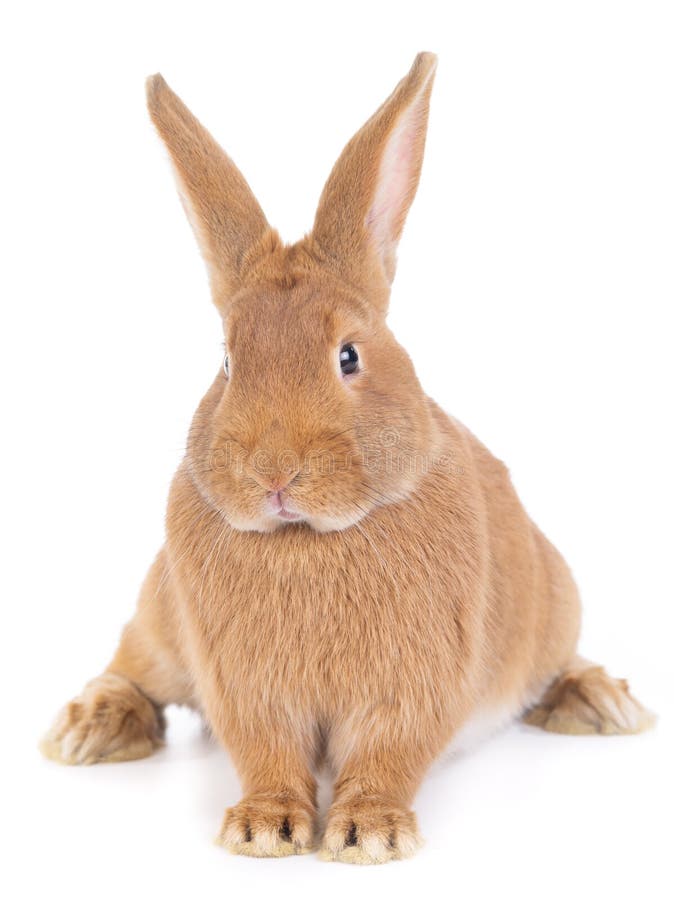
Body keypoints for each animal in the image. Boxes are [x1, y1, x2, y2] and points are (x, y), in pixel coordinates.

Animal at [41, 52, 654, 865]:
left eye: (349, 356)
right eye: (227, 362)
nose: (274, 474)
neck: (309, 540)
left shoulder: (416, 686)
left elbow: (386, 755)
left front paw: (370, 835)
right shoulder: (245, 690)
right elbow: (266, 752)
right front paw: (262, 830)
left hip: (555, 606)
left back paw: (604, 704)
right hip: (159, 621)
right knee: (132, 670)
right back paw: (87, 729)